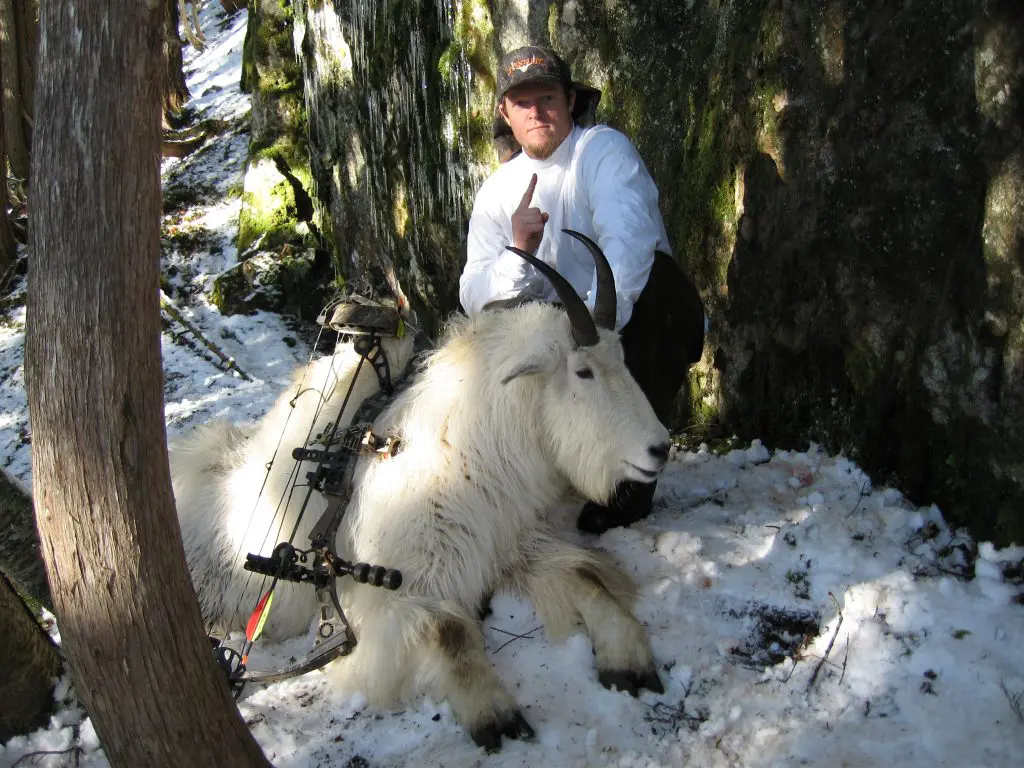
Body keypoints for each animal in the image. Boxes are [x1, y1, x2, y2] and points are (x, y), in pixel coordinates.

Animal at [172, 231, 670, 751]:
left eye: (622, 360)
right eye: (583, 372)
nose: (659, 449)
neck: (469, 449)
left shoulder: (509, 545)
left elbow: (589, 579)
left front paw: (629, 661)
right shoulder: (396, 586)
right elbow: (448, 632)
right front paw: (498, 718)